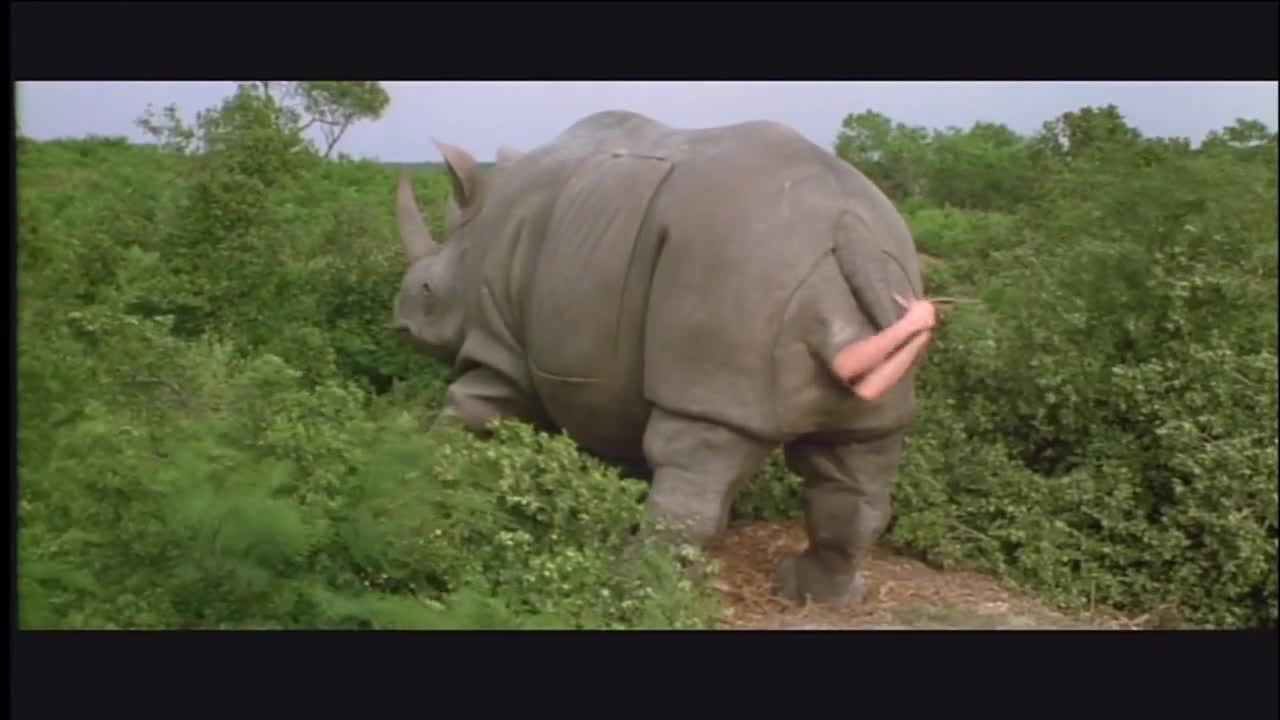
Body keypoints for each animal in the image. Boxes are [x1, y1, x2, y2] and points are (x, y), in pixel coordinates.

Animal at [391, 110, 931, 607]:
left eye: (426, 290)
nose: (401, 326)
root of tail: (848, 227)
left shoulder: (500, 341)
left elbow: (470, 405)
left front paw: (428, 466)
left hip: (729, 276)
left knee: (699, 453)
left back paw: (625, 587)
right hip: (858, 282)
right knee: (858, 456)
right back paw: (817, 596)